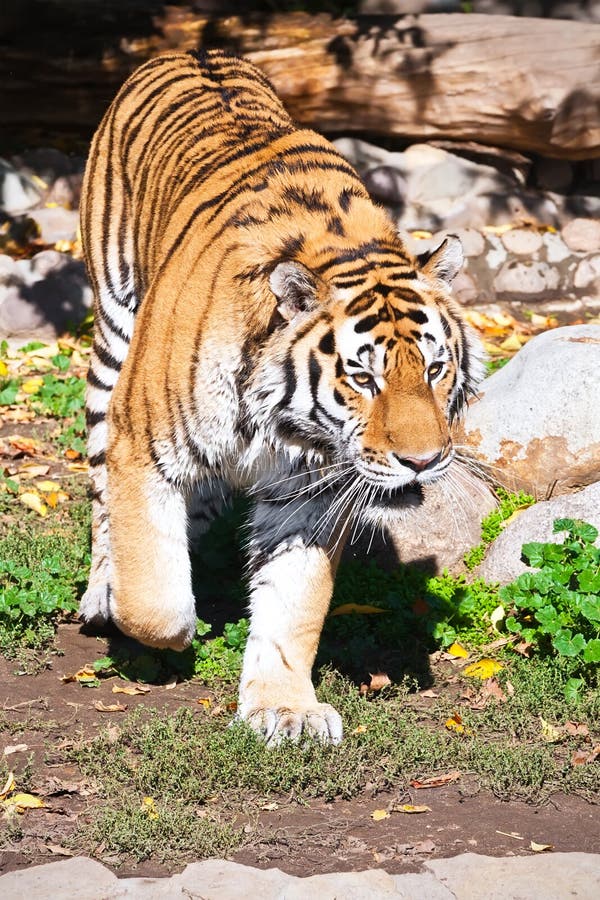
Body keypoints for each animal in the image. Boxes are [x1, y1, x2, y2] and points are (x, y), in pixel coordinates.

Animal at [79, 49, 483, 745]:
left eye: (434, 370)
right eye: (364, 378)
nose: (425, 461)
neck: (279, 423)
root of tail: (192, 50)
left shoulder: (309, 494)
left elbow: (295, 604)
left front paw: (284, 708)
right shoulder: (141, 443)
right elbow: (157, 599)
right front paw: (175, 627)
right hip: (113, 333)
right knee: (103, 488)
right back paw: (105, 586)